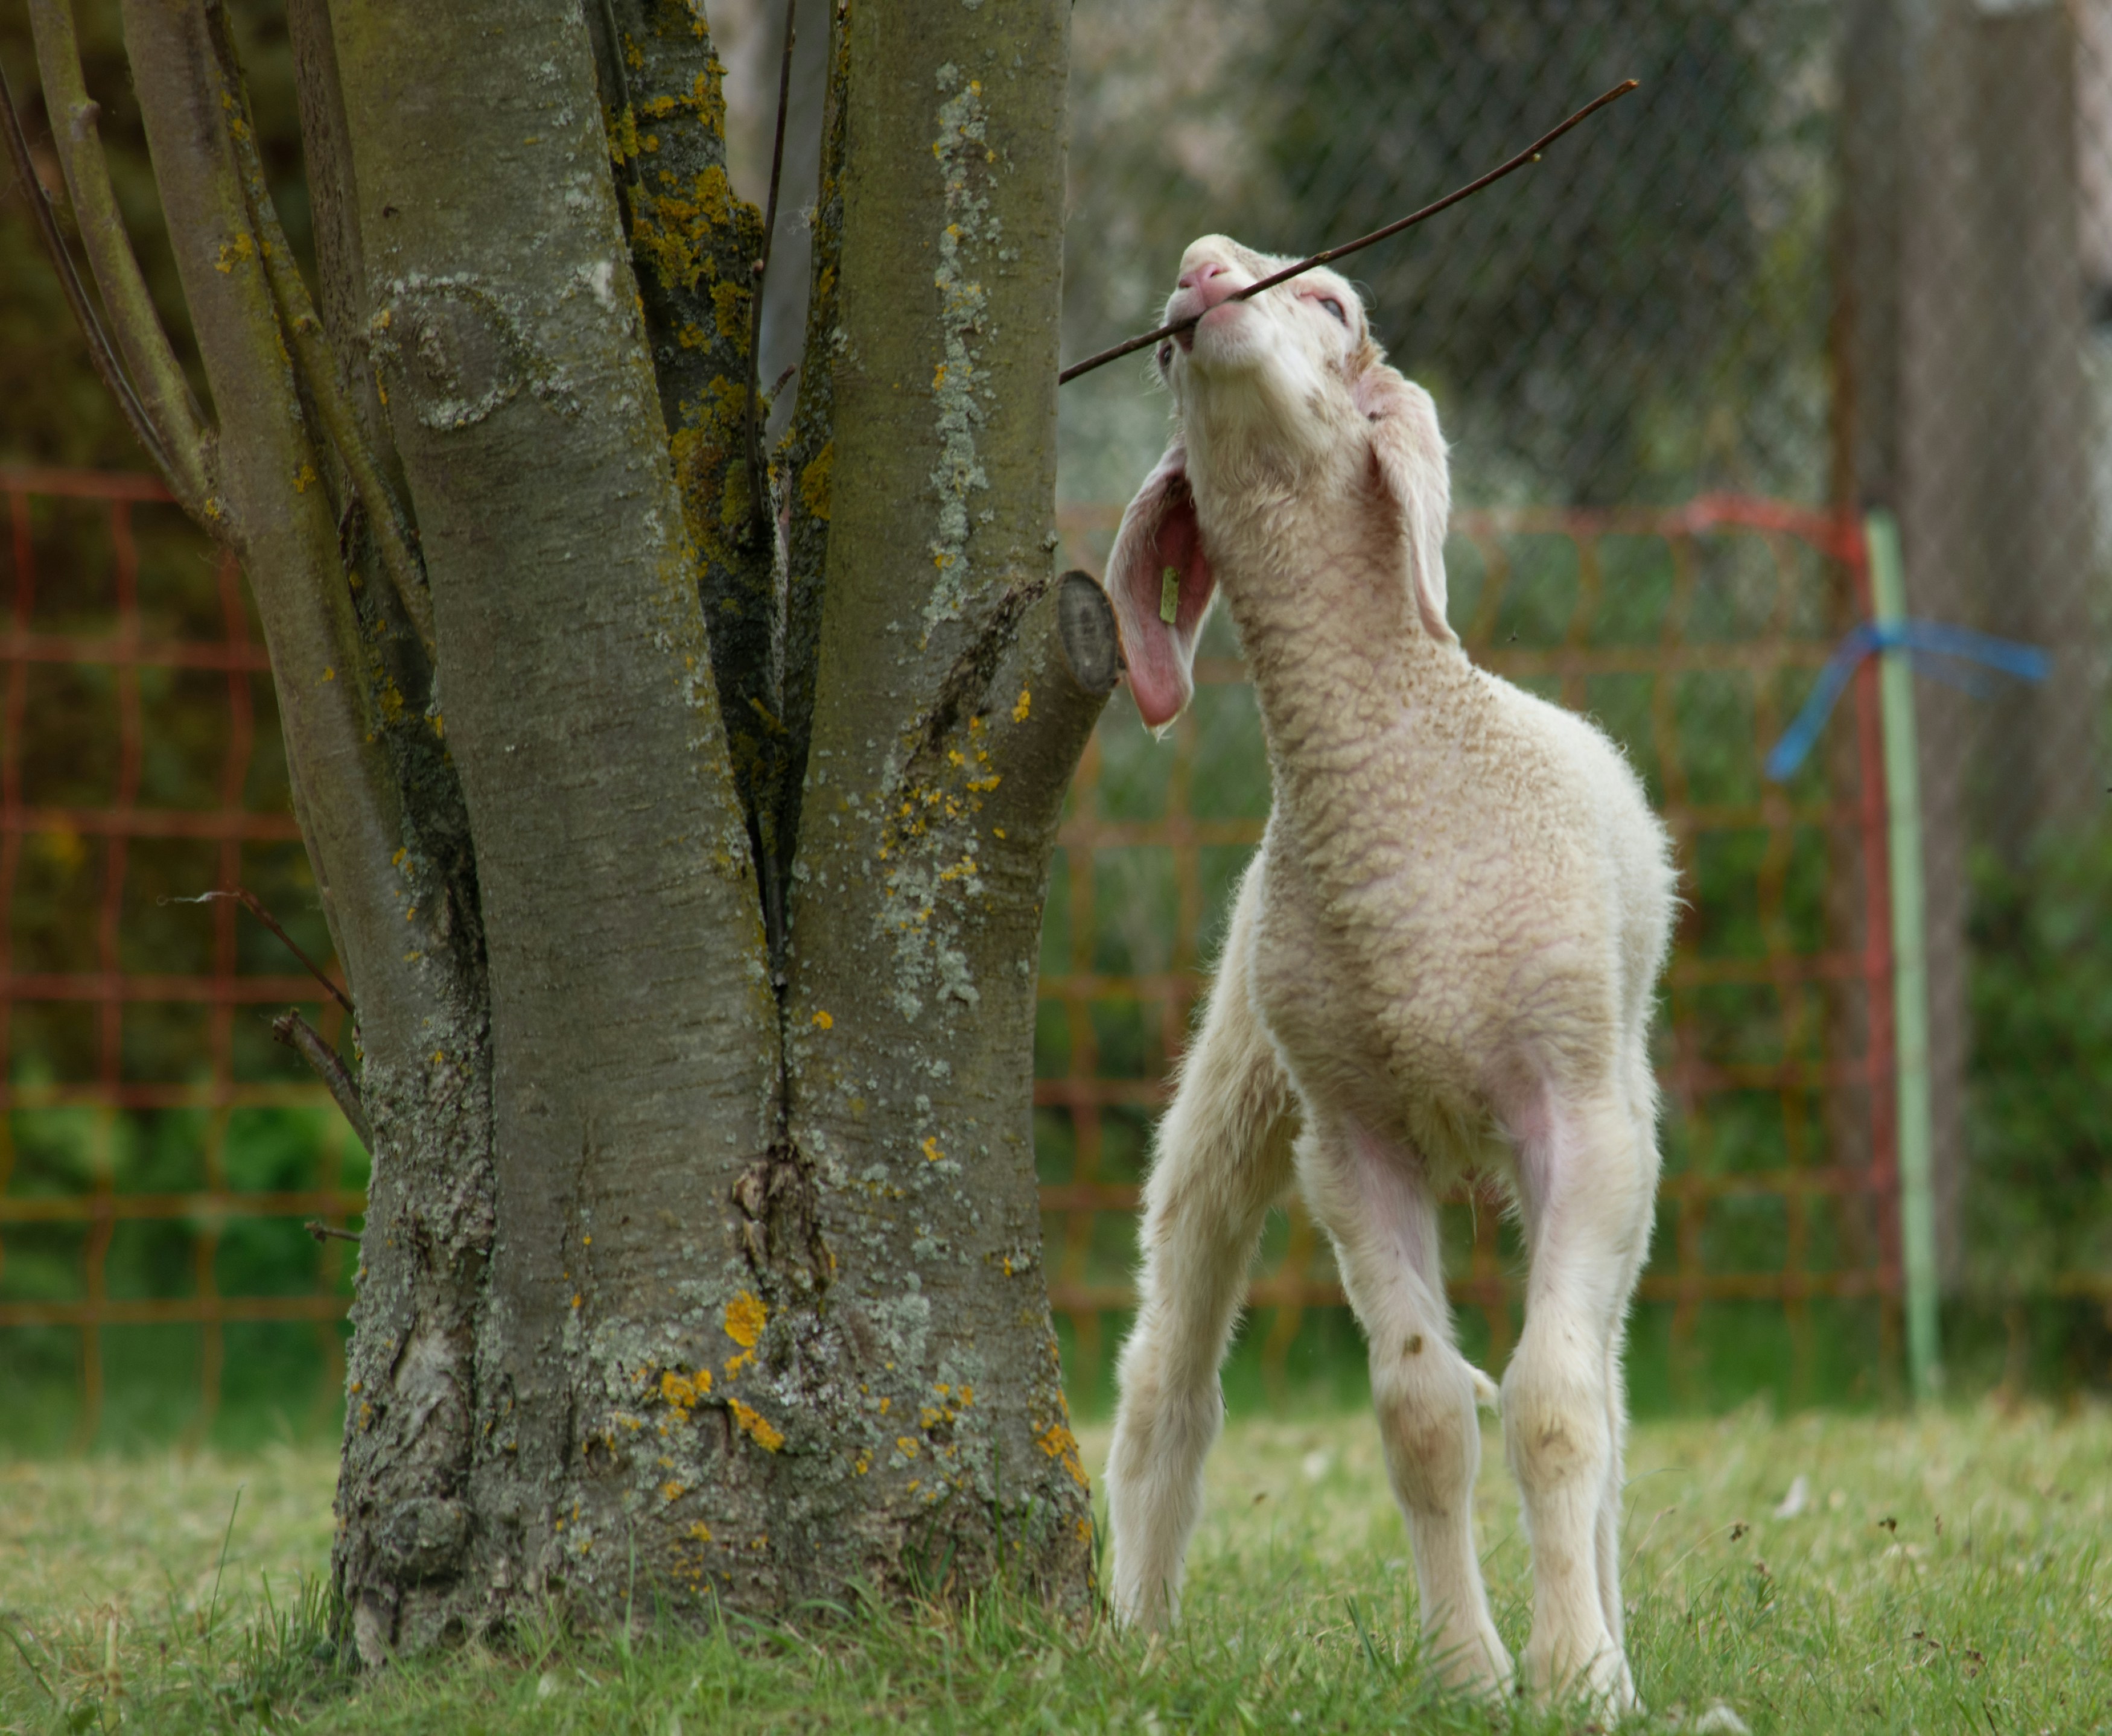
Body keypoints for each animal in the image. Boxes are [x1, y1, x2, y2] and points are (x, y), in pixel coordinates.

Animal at [1099, 236, 1676, 1709]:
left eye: (1328, 300)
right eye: (1165, 346)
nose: (1201, 272)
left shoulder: (1580, 1117)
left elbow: (1554, 1403)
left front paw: (1578, 1677)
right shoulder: (1349, 1134)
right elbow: (1422, 1412)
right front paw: (1469, 1672)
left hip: (1624, 1111)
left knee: (1604, 1385)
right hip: (1243, 1066)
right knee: (1168, 1371)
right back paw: (1135, 1628)